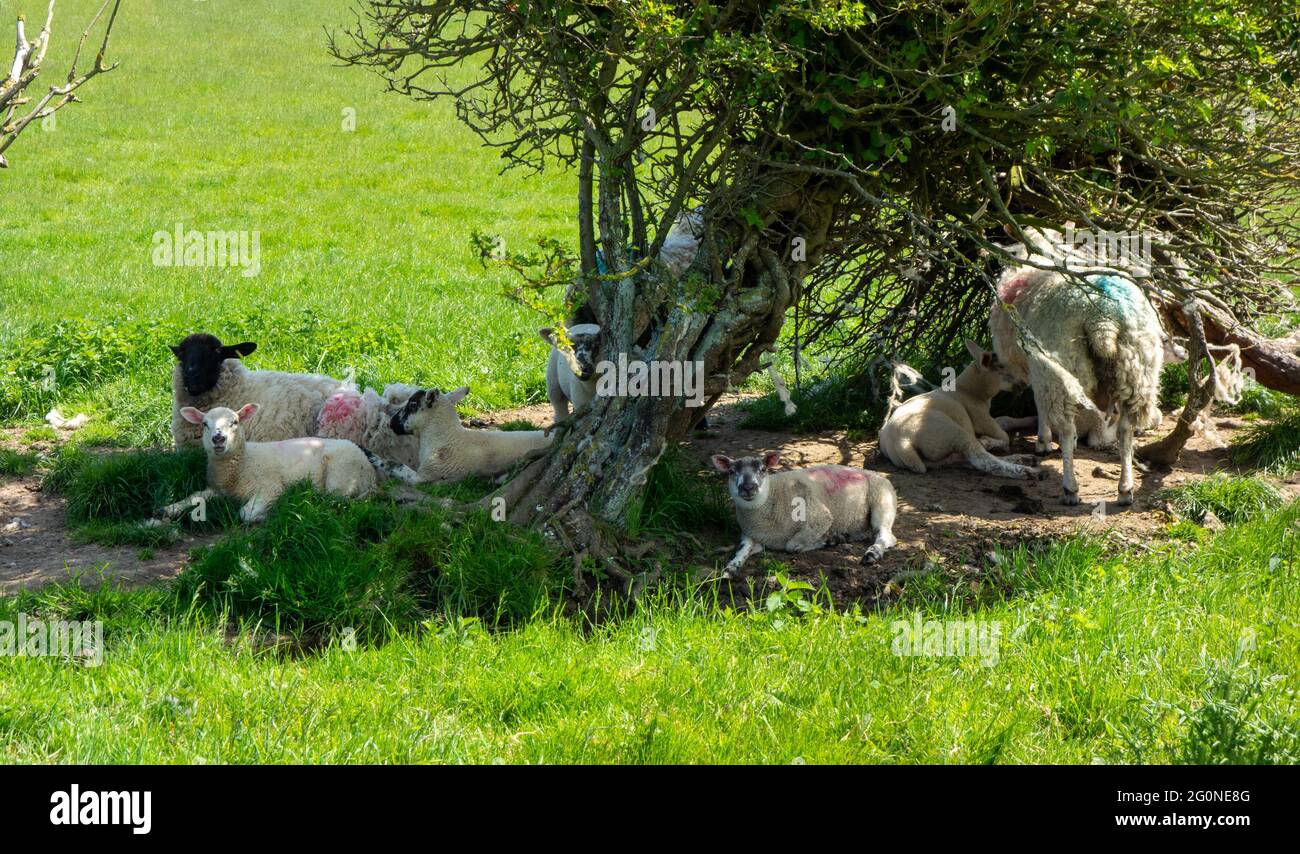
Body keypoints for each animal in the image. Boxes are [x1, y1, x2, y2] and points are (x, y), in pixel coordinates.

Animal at [160, 404, 377, 523]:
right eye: (205, 424)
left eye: (235, 422)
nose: (218, 439)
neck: (241, 465)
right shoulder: (216, 489)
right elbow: (194, 497)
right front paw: (169, 509)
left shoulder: (270, 488)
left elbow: (244, 514)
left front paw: (265, 515)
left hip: (341, 476)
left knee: (335, 500)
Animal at [365, 386, 552, 485]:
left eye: (412, 404)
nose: (392, 423)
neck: (445, 437)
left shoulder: (424, 477)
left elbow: (393, 465)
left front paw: (369, 453)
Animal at [710, 451, 897, 578]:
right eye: (731, 472)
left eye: (763, 469)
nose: (748, 488)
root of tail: (878, 475)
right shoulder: (752, 534)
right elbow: (742, 549)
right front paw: (731, 568)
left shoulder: (821, 517)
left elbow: (792, 546)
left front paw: (828, 541)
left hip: (883, 502)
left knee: (886, 536)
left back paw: (872, 553)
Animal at [879, 339, 1044, 480]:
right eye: (1002, 367)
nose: (1025, 383)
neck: (969, 390)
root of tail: (902, 444)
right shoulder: (980, 417)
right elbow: (1004, 436)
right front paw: (987, 440)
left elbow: (1003, 421)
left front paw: (1032, 420)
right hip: (951, 432)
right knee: (982, 459)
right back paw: (1028, 471)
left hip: (937, 459)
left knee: (963, 460)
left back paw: (1024, 459)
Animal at [989, 264, 1163, 506]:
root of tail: (1102, 319)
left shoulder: (1039, 367)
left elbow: (1039, 404)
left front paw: (1043, 441)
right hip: (1136, 370)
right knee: (1126, 429)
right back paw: (1125, 490)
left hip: (1063, 366)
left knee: (1066, 427)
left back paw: (1070, 488)